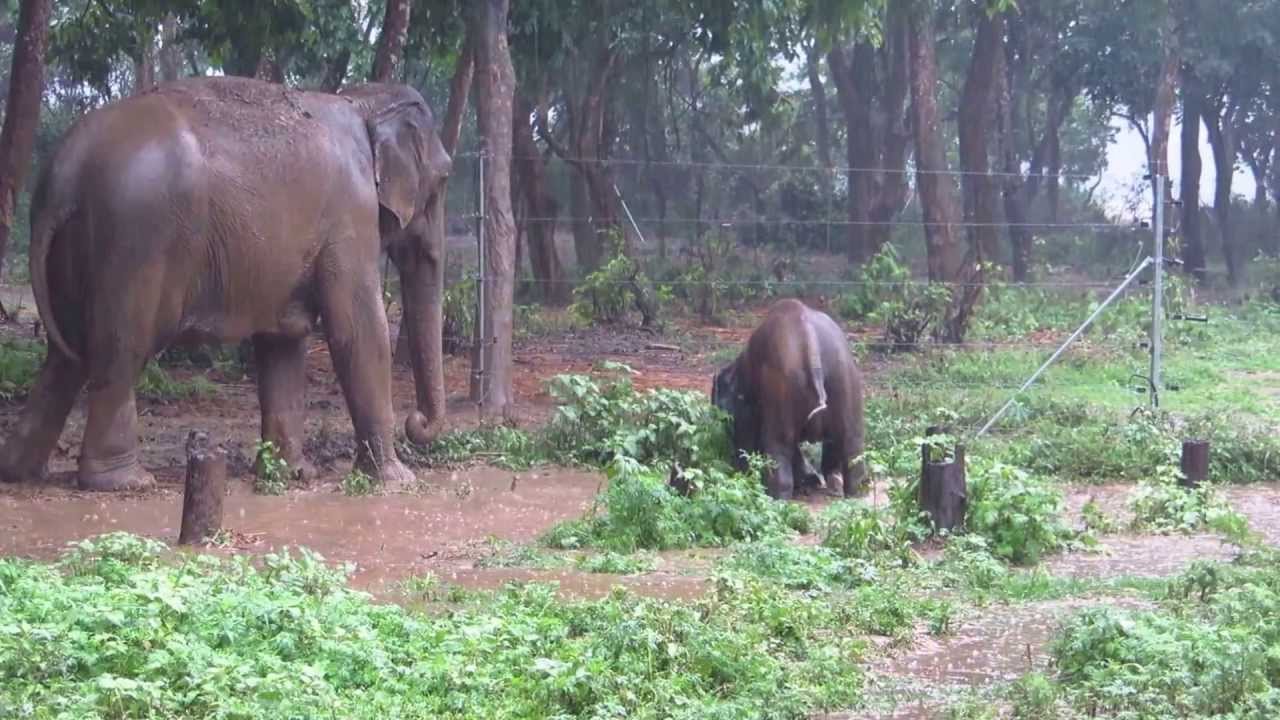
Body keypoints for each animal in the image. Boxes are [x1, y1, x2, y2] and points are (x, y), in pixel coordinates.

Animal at [0, 76, 452, 492]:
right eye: (445, 178)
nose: (417, 422)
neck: (361, 100)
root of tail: (65, 169)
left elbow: (283, 341)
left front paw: (290, 475)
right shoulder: (350, 214)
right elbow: (358, 329)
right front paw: (398, 481)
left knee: (66, 357)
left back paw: (22, 471)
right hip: (134, 243)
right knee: (120, 351)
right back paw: (126, 481)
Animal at [711, 298, 866, 500]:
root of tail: (809, 340)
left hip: (782, 384)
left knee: (779, 443)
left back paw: (776, 496)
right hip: (843, 375)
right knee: (851, 441)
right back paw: (853, 493)